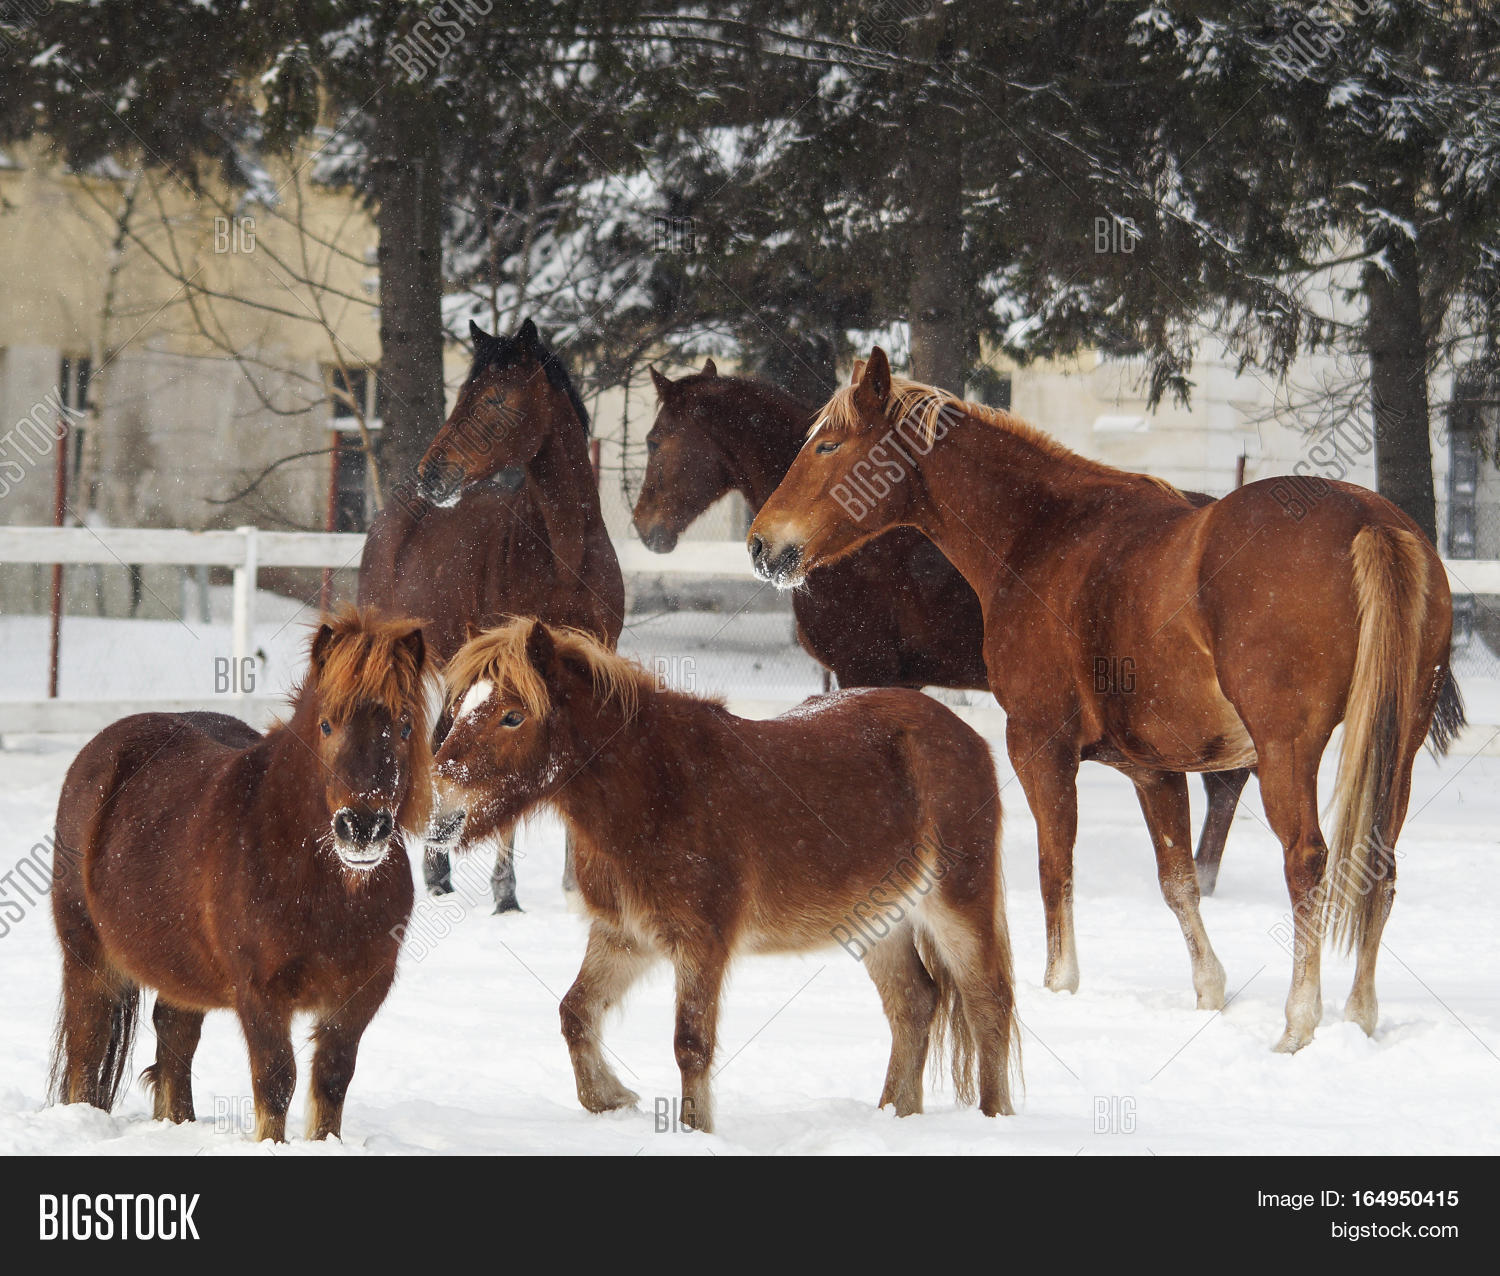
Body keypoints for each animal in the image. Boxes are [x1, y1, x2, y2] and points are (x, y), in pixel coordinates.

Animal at [49, 608, 434, 1141]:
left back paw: (180, 1123)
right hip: (86, 954)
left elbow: (332, 1079)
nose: (363, 827)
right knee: (87, 1048)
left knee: (175, 1038)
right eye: (326, 725)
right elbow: (276, 1080)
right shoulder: (260, 993)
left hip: (178, 965)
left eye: (403, 726)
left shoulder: (359, 992)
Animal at [359, 317, 624, 910]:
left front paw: (576, 884)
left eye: (497, 398)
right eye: (463, 393)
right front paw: (506, 893)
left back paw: (437, 870)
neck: (564, 554)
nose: (433, 473)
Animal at [425, 618, 1020, 1133]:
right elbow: (576, 1012)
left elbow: (690, 1044)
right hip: (878, 919)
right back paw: (896, 1117)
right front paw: (612, 1098)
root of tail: (966, 738)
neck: (658, 790)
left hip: (957, 903)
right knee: (914, 1003)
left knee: (987, 1002)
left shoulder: (701, 943)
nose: (441, 816)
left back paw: (994, 1119)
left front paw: (694, 1129)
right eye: (459, 708)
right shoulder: (624, 938)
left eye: (513, 715)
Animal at [747, 347, 1464, 1053]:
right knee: (1377, 865)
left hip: (1287, 752)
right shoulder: (1154, 769)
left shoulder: (1039, 746)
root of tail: (1370, 521)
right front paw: (1209, 992)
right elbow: (1177, 882)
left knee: (1307, 863)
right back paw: (1360, 1016)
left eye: (829, 445)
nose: (760, 544)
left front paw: (1059, 985)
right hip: (1396, 749)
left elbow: (1054, 867)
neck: (1043, 535)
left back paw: (1299, 1023)